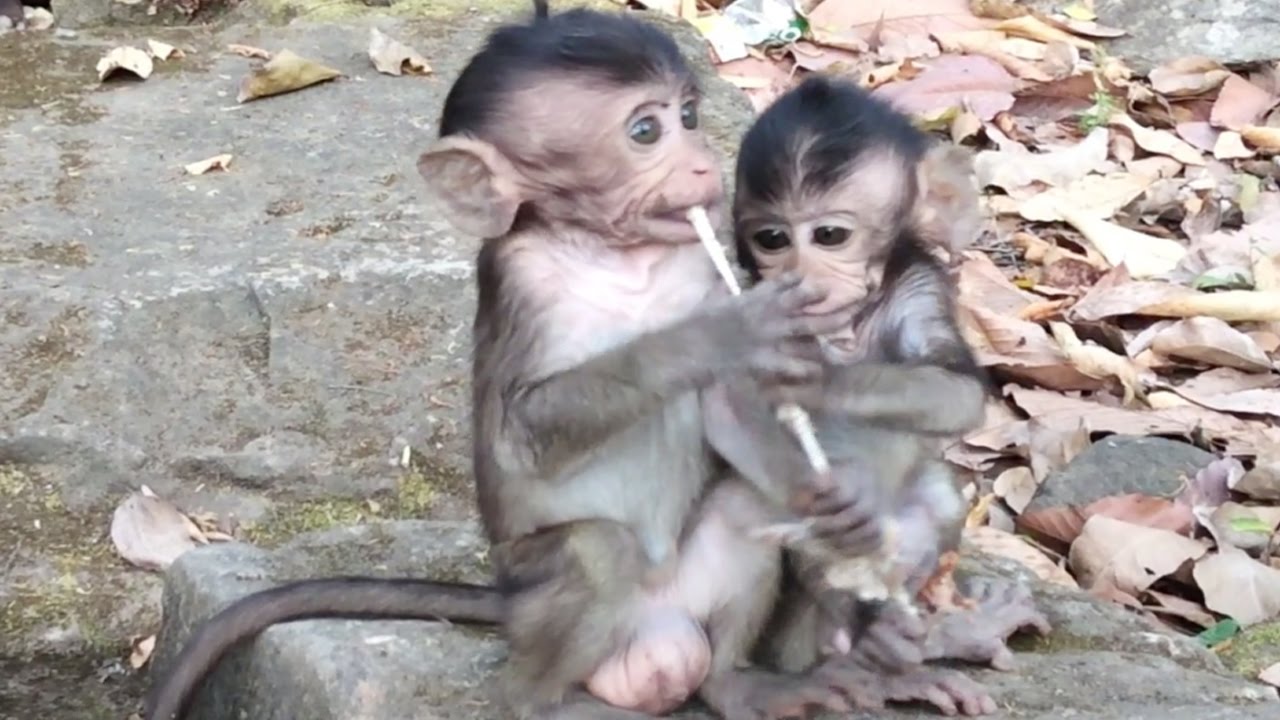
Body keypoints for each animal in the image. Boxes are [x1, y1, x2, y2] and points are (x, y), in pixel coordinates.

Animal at [144, 5, 891, 720]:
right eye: (645, 132)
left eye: (688, 115)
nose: (707, 166)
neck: (615, 255)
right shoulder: (518, 282)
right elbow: (525, 431)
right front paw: (722, 332)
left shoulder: (700, 262)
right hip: (539, 593)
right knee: (595, 554)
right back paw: (539, 701)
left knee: (742, 507)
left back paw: (736, 683)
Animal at [701, 74, 1052, 716]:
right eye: (771, 239)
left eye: (830, 236)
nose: (799, 278)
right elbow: (726, 412)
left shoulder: (919, 286)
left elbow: (957, 391)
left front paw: (822, 375)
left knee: (937, 500)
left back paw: (892, 650)